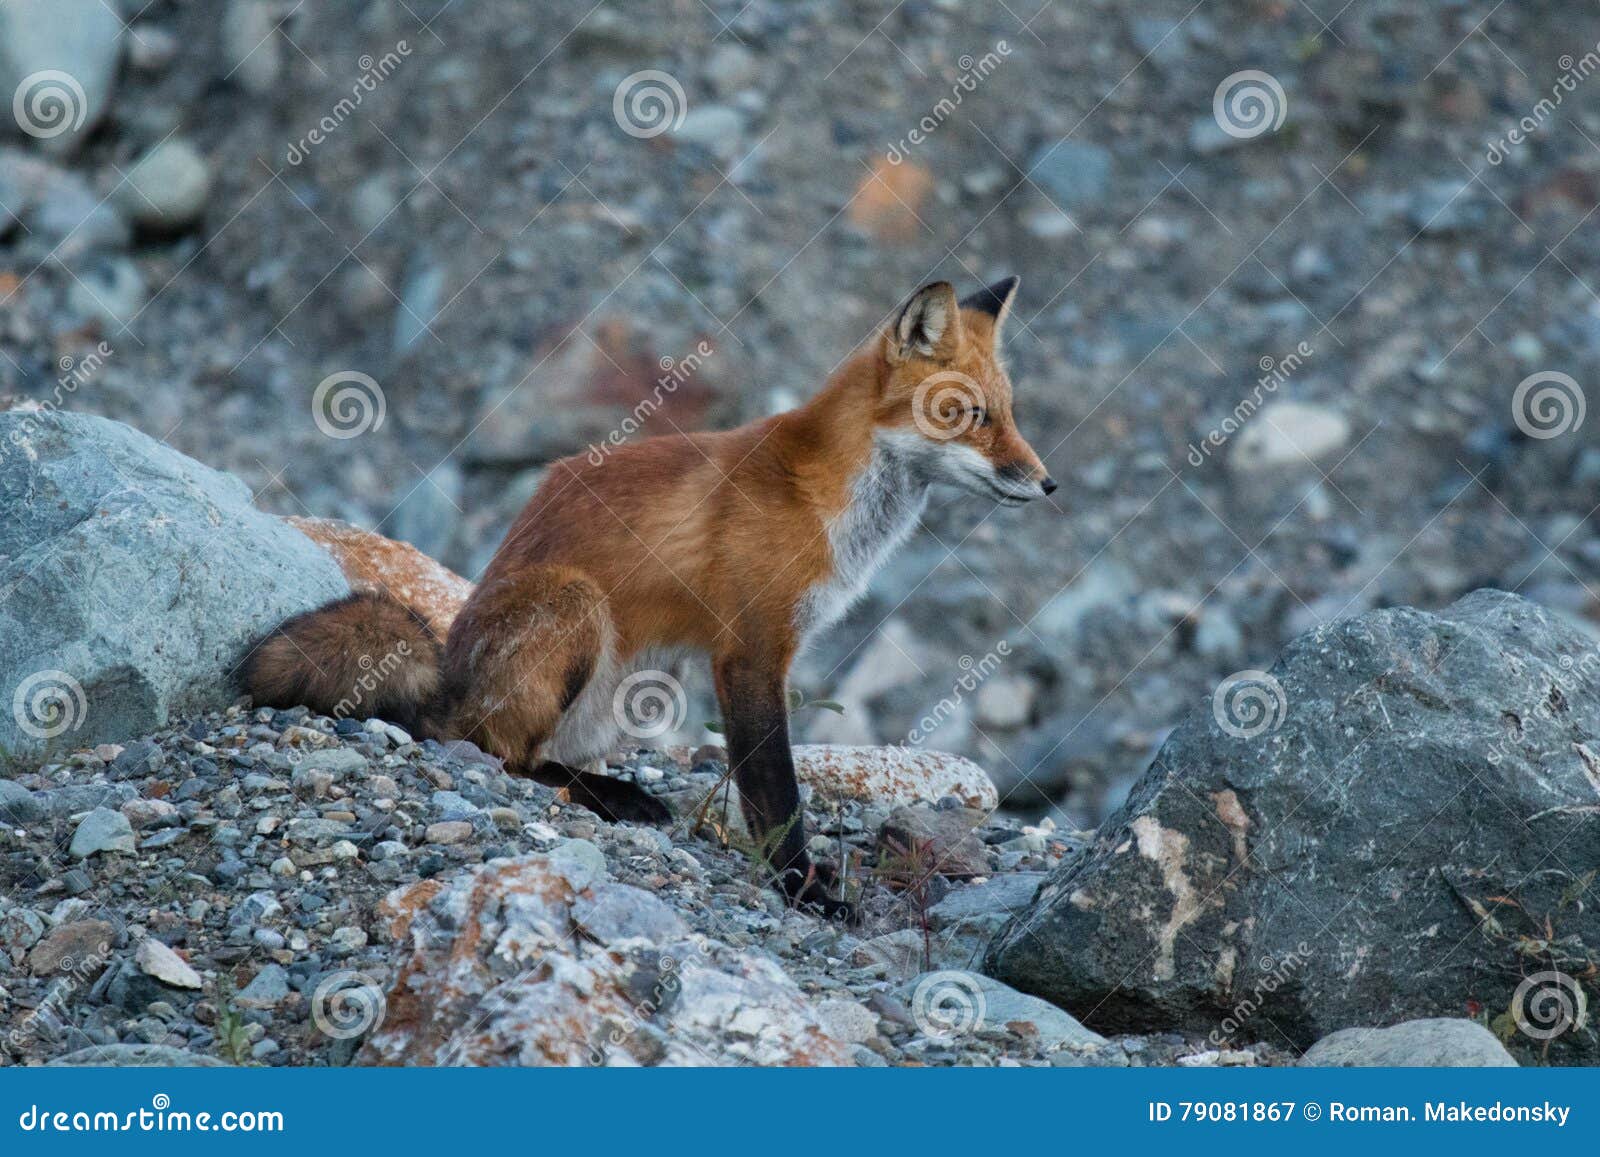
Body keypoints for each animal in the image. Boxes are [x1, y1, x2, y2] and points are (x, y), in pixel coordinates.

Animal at [244, 277, 1054, 921]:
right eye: (968, 414)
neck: (826, 499)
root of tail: (447, 670)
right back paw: (608, 794)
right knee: (489, 747)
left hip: (645, 679)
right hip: (576, 607)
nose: (1047, 484)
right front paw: (806, 891)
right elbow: (776, 795)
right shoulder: (750, 651)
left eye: (1011, 412)